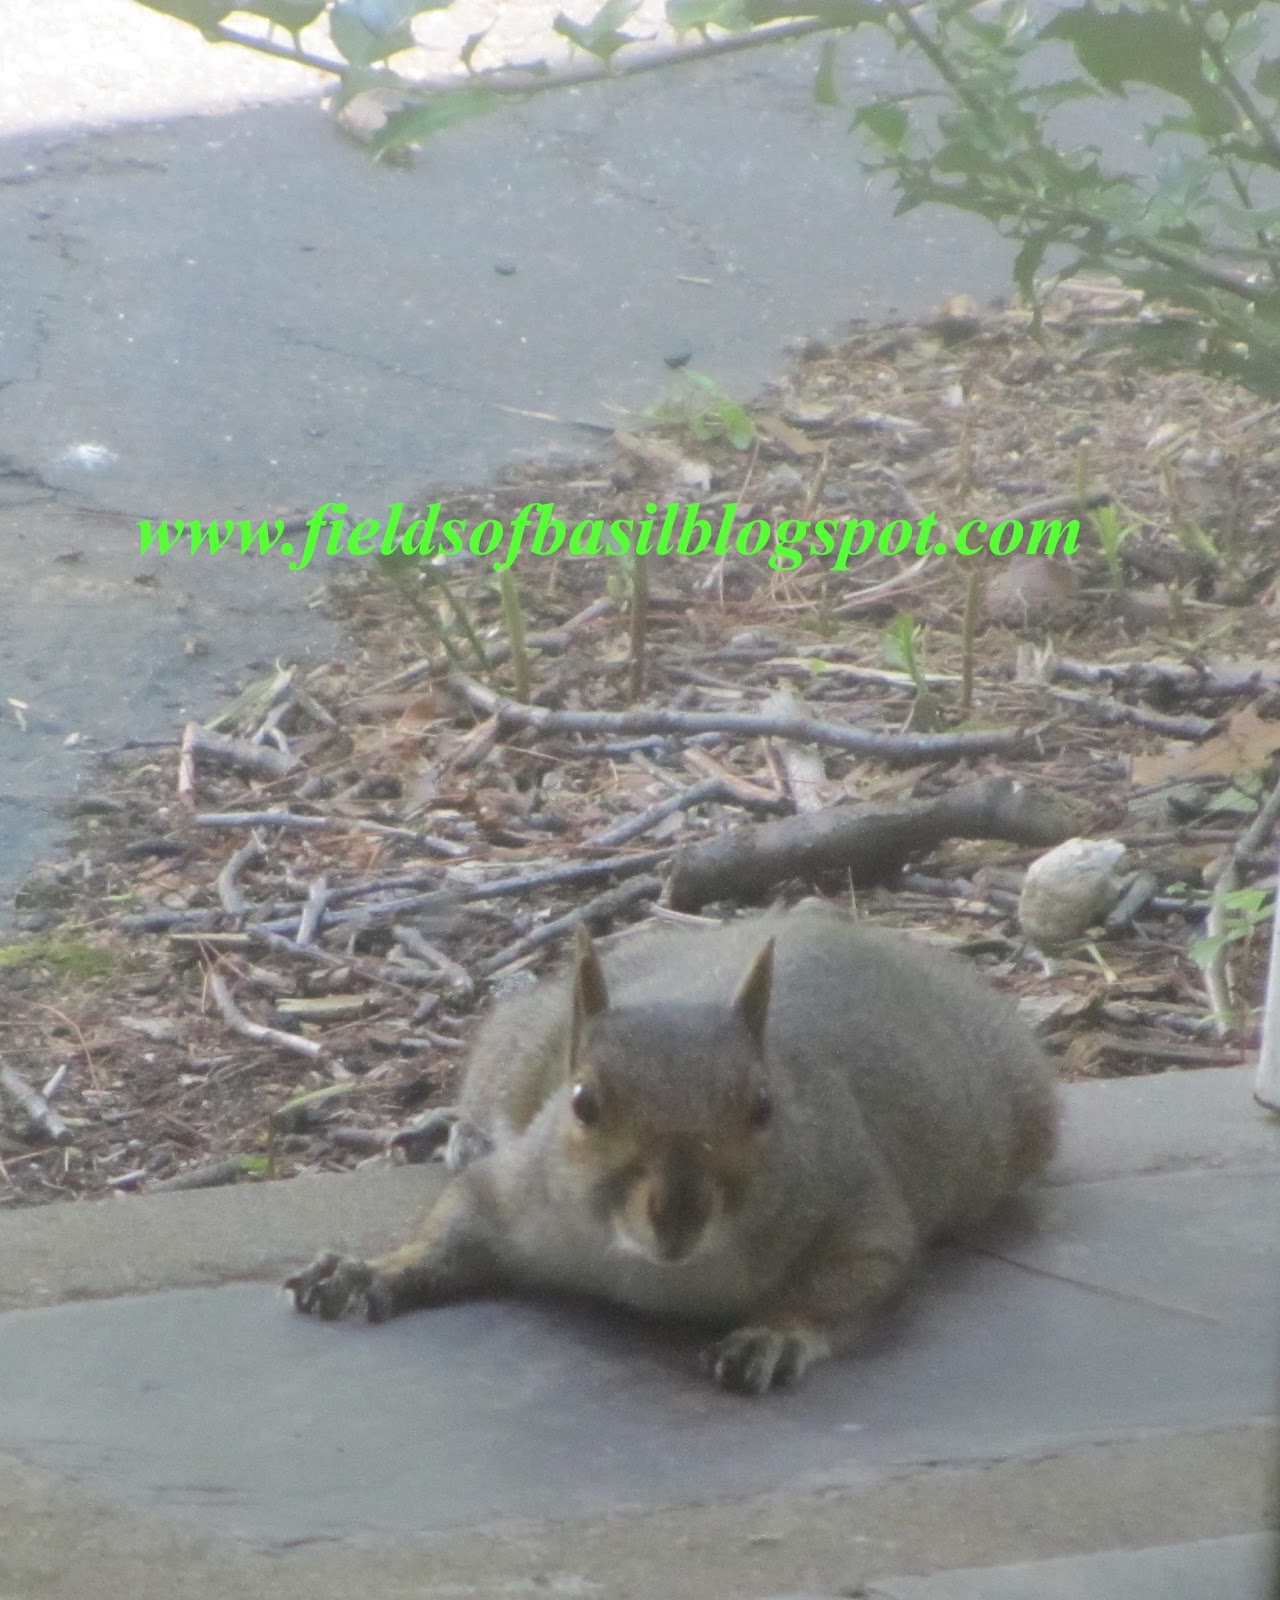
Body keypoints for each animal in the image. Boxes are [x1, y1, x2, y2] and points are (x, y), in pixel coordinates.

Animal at [287, 899, 1058, 1394]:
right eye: (583, 1102)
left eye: (764, 1105)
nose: (678, 1212)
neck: (651, 1270)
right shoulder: (517, 1194)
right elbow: (454, 1227)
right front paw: (368, 1270)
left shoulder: (857, 1212)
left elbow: (847, 1283)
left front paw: (775, 1334)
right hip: (518, 1049)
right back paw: (451, 1130)